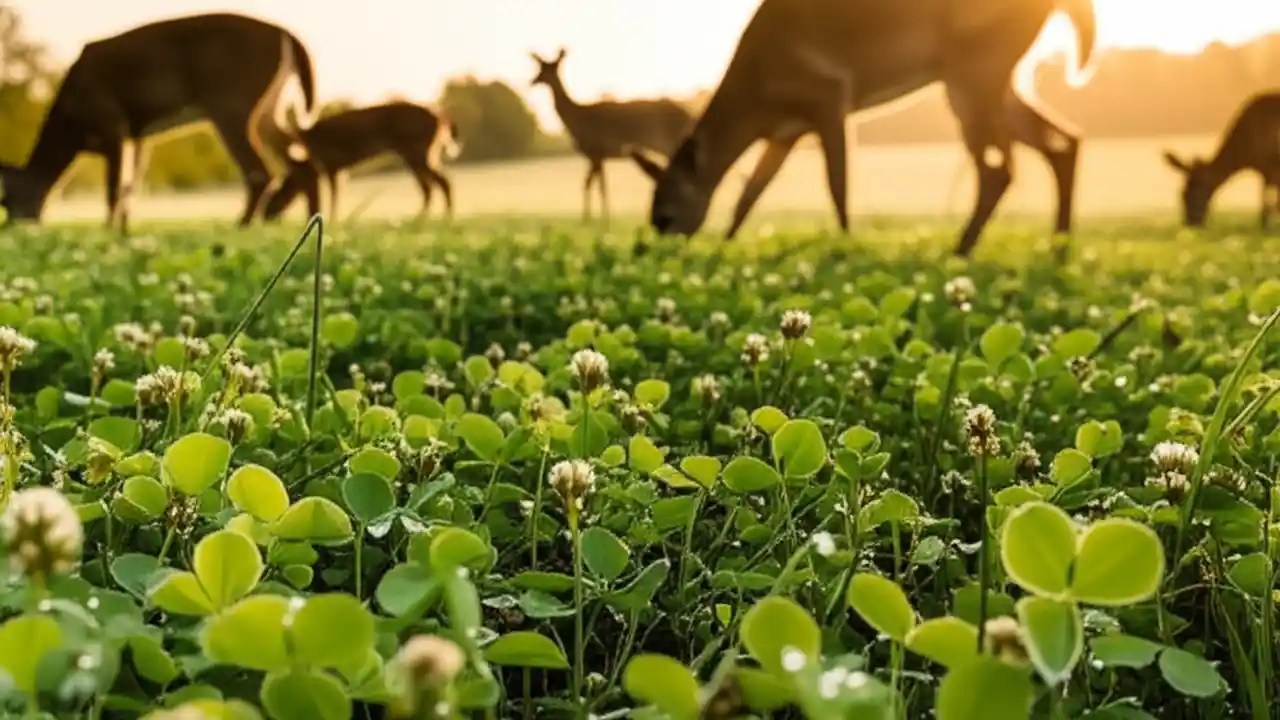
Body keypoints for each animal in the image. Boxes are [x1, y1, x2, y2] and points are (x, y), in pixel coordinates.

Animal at [0, 12, 316, 233]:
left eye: (8, 200)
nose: (14, 227)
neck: (71, 130)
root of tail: (287, 35)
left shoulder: (114, 125)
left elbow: (114, 189)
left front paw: (108, 232)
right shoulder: (138, 136)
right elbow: (130, 187)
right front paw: (123, 233)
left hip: (233, 100)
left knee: (260, 171)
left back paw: (242, 225)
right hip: (270, 109)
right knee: (301, 163)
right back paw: (306, 220)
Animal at [262, 101, 460, 222]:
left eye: (271, 199)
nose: (265, 217)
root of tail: (441, 118)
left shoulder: (330, 164)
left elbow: (333, 195)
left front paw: (333, 221)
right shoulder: (337, 168)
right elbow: (336, 193)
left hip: (417, 149)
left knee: (441, 182)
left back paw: (442, 217)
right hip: (418, 152)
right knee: (430, 186)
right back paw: (424, 218)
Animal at [530, 49, 693, 223]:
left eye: (550, 68)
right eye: (540, 66)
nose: (532, 80)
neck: (576, 119)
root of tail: (688, 115)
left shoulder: (595, 150)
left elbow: (594, 184)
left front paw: (595, 219)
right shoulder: (598, 155)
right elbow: (596, 184)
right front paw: (597, 217)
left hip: (667, 141)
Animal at [629, 0, 1097, 257]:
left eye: (666, 216)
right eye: (652, 214)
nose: (646, 250)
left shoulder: (830, 96)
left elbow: (837, 184)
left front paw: (846, 248)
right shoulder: (785, 131)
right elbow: (750, 194)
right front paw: (725, 248)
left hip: (975, 66)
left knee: (1000, 167)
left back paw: (958, 253)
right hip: (991, 71)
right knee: (1062, 142)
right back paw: (1058, 250)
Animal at [1163, 92, 1280, 229]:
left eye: (1196, 193)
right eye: (1182, 193)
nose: (1191, 223)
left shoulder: (1271, 166)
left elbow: (1268, 204)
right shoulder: (1266, 171)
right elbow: (1268, 204)